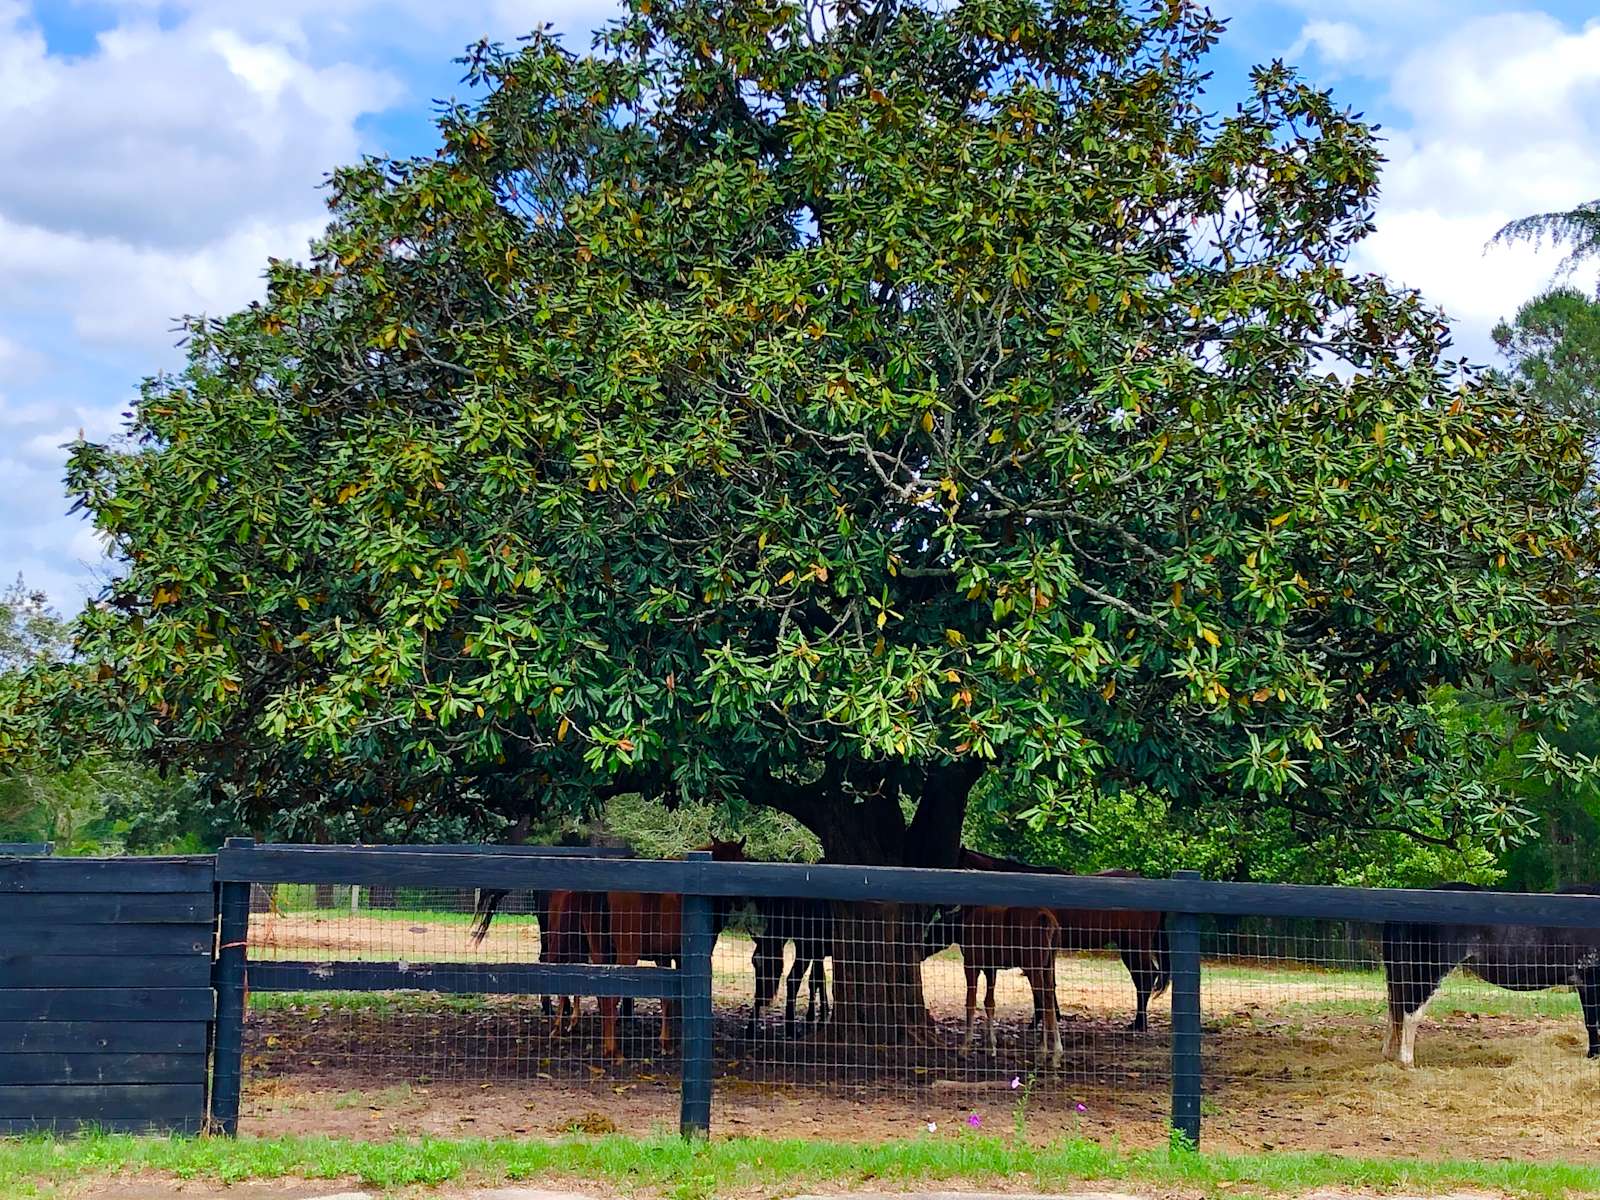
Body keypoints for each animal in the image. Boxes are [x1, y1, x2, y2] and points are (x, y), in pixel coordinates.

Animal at [747, 897, 833, 1039]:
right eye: (754, 961)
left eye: (770, 963)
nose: (761, 997)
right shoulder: (814, 951)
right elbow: (818, 980)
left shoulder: (809, 949)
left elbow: (795, 980)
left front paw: (792, 1028)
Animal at [1381, 882, 1600, 1067]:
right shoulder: (1590, 980)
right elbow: (1593, 1021)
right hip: (1428, 972)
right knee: (1411, 1012)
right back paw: (1407, 1062)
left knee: (1395, 1010)